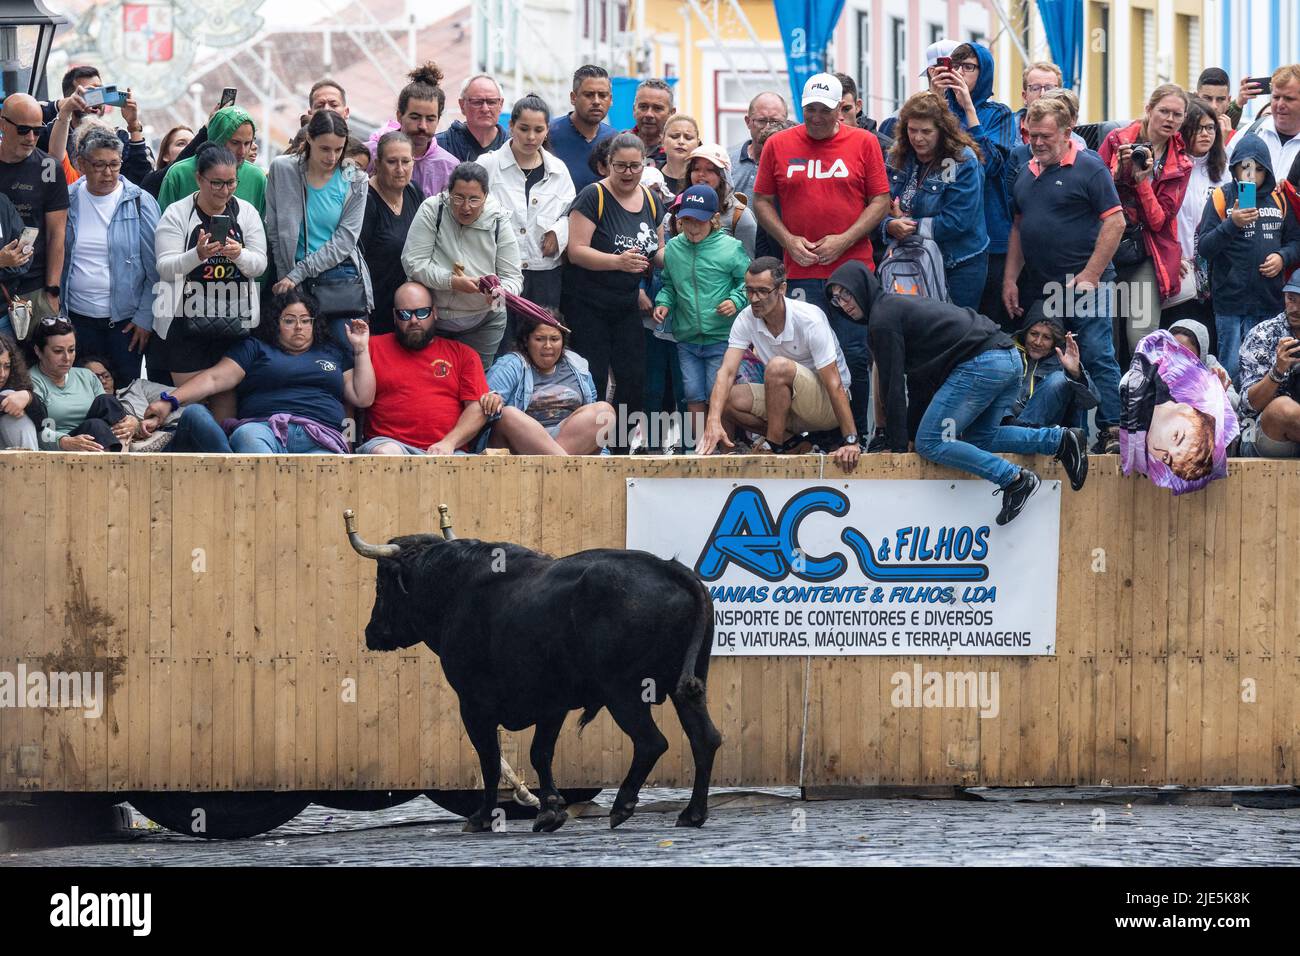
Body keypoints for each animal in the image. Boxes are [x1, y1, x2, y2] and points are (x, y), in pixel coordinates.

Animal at [343, 505, 723, 832]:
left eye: (381, 584)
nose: (371, 632)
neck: (458, 590)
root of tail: (667, 567)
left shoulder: (474, 703)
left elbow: (490, 759)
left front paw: (483, 817)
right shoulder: (551, 703)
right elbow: (540, 753)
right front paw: (550, 809)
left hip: (624, 693)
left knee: (651, 742)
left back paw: (623, 806)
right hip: (687, 687)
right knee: (704, 738)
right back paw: (692, 813)